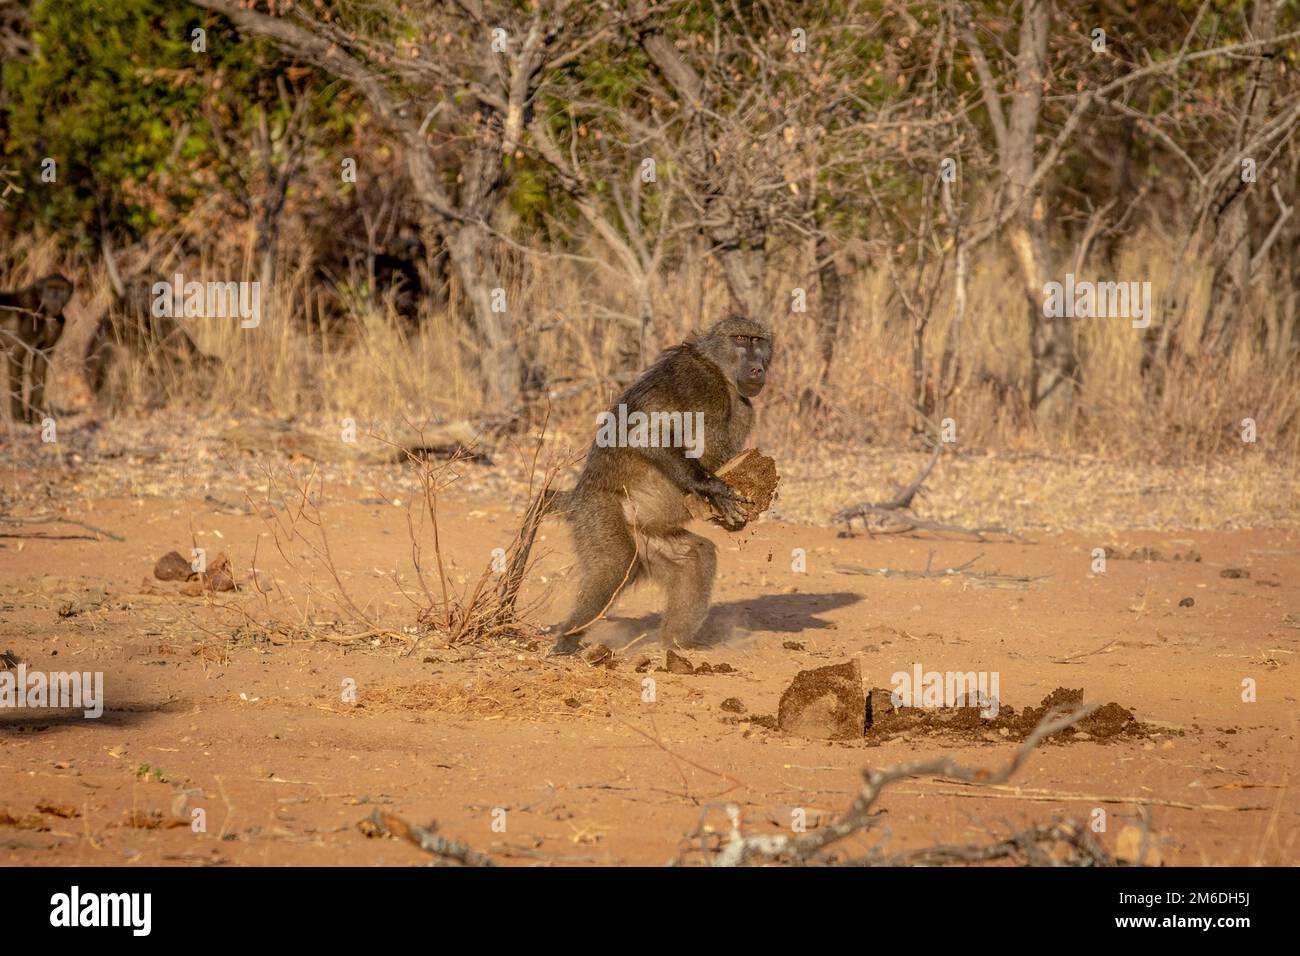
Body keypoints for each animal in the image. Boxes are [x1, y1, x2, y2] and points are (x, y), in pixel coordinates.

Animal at [0, 273, 74, 423]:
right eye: (50, 289)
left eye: (61, 289)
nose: (54, 298)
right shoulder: (29, 316)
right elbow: (17, 359)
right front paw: (19, 418)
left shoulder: (55, 327)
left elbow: (40, 368)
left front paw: (34, 417)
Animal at [548, 314, 774, 656]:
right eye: (740, 339)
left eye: (758, 341)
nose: (757, 368)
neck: (721, 371)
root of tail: (576, 499)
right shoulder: (699, 383)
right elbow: (645, 434)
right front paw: (714, 491)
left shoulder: (745, 409)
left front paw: (733, 516)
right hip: (597, 513)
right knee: (614, 565)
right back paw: (566, 641)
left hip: (649, 539)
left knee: (696, 560)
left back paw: (677, 644)